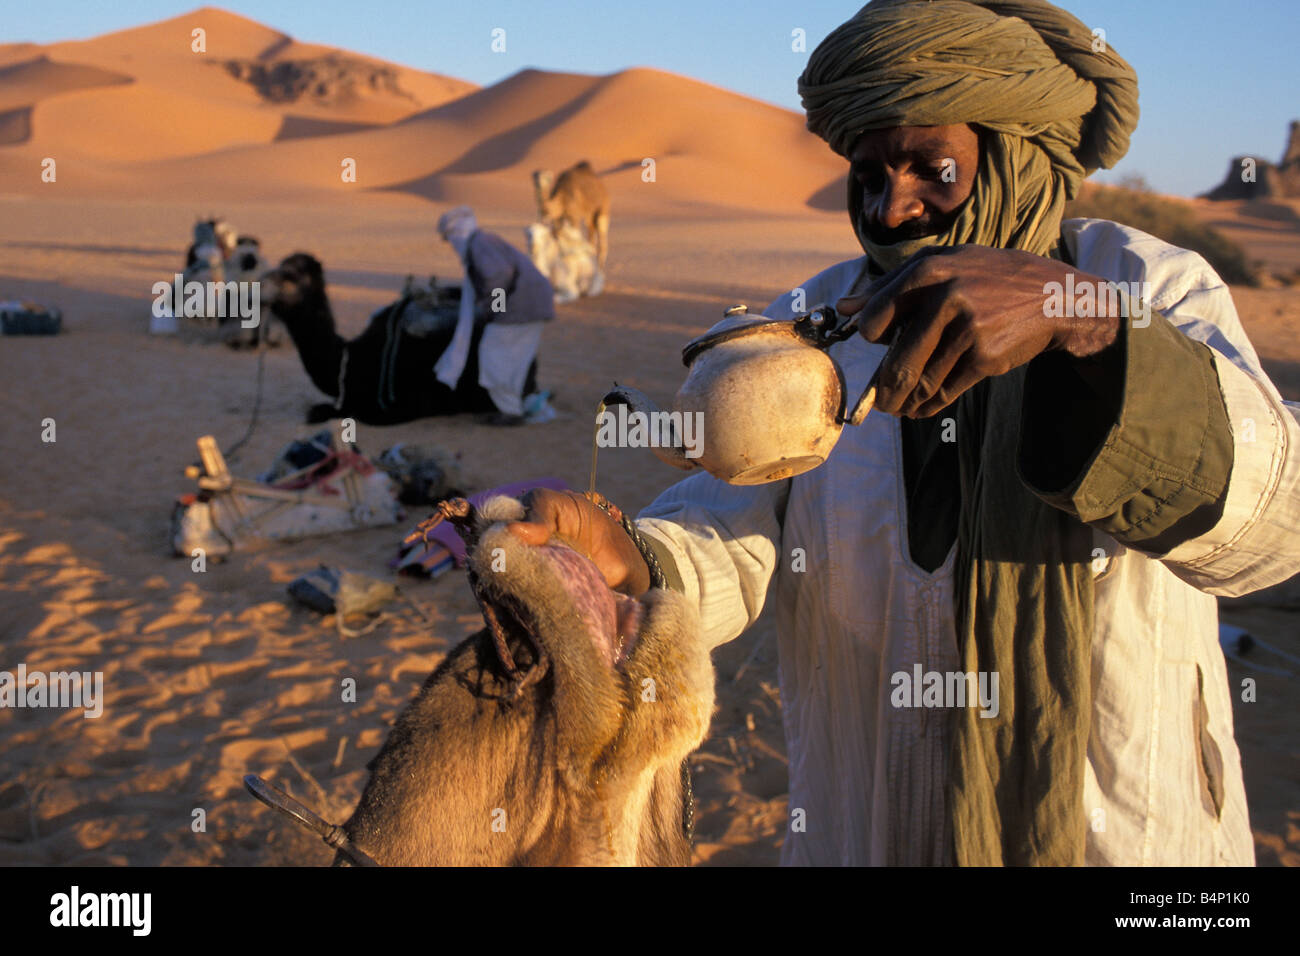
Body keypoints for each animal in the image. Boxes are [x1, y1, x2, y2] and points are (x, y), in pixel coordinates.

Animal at [533, 161, 610, 292]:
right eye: (535, 175)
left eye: (547, 177)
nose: (538, 182)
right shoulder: (558, 221)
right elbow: (559, 245)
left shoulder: (574, 218)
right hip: (589, 215)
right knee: (591, 236)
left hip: (602, 209)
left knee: (602, 241)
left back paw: (598, 278)